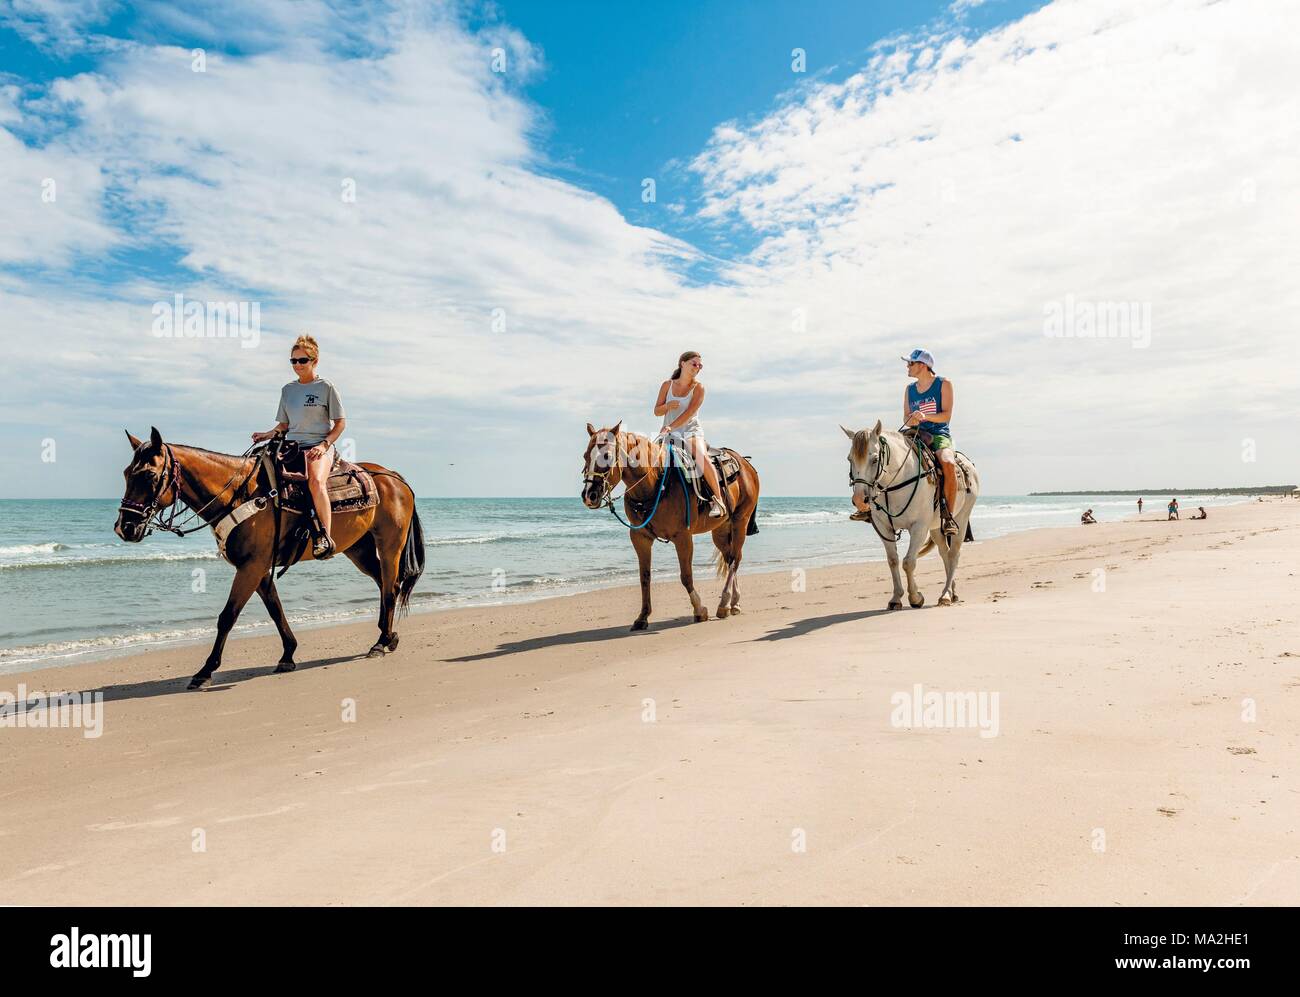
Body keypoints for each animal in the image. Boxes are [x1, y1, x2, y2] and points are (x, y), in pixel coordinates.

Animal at [114, 427, 425, 689]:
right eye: (127, 473)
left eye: (150, 476)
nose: (124, 527)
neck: (240, 493)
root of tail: (394, 477)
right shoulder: (259, 568)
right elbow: (275, 610)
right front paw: (288, 654)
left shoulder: (250, 567)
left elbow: (227, 616)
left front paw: (205, 670)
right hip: (358, 549)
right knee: (386, 585)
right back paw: (388, 637)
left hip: (390, 545)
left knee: (389, 588)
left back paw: (381, 642)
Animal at [581, 422, 760, 630]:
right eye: (585, 456)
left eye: (607, 456)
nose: (589, 495)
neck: (655, 483)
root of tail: (745, 463)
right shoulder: (640, 538)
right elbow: (644, 577)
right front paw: (643, 616)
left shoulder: (683, 537)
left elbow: (686, 576)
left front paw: (699, 610)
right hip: (721, 529)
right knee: (730, 557)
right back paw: (734, 603)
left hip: (740, 521)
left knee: (735, 560)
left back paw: (724, 603)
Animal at [842, 420, 980, 608]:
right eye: (850, 459)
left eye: (875, 459)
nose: (859, 499)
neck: (896, 483)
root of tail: (969, 464)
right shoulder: (884, 528)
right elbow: (893, 560)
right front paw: (896, 598)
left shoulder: (919, 527)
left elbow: (908, 562)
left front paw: (916, 598)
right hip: (935, 528)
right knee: (944, 553)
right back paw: (951, 593)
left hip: (962, 518)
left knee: (954, 554)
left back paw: (945, 595)